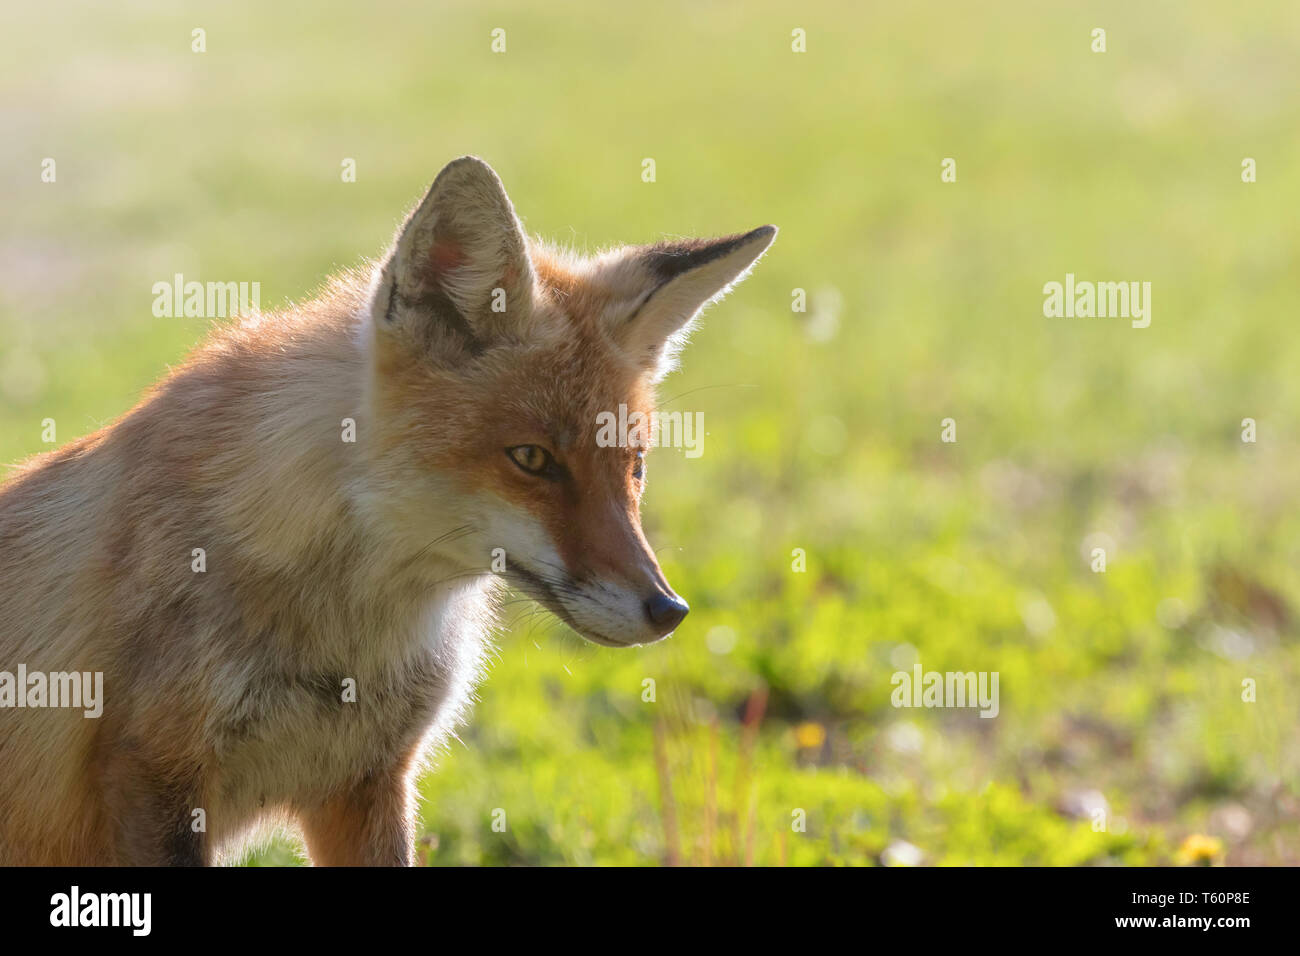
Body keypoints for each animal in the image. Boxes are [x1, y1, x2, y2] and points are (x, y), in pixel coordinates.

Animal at [0, 156, 776, 865]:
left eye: (634, 466)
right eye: (531, 459)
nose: (668, 610)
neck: (348, 634)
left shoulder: (367, 779)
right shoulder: (151, 771)